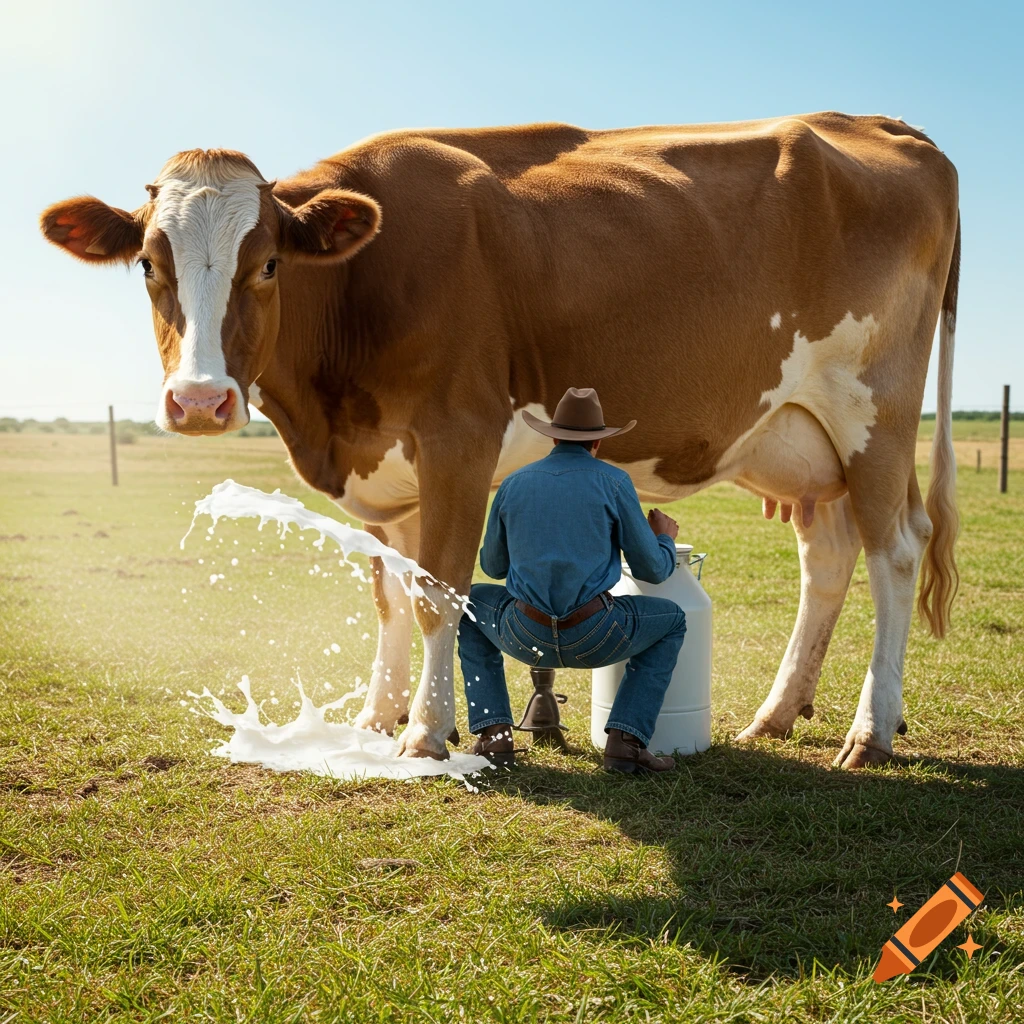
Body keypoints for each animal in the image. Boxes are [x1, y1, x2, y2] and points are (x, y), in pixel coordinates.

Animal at [40, 112, 960, 768]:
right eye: (148, 266)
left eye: (268, 265)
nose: (199, 401)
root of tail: (878, 124)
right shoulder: (383, 471)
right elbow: (389, 592)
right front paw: (377, 716)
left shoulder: (459, 439)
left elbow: (436, 591)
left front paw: (424, 734)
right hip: (803, 438)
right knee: (828, 554)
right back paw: (775, 715)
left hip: (874, 415)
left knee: (895, 550)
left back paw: (871, 730)